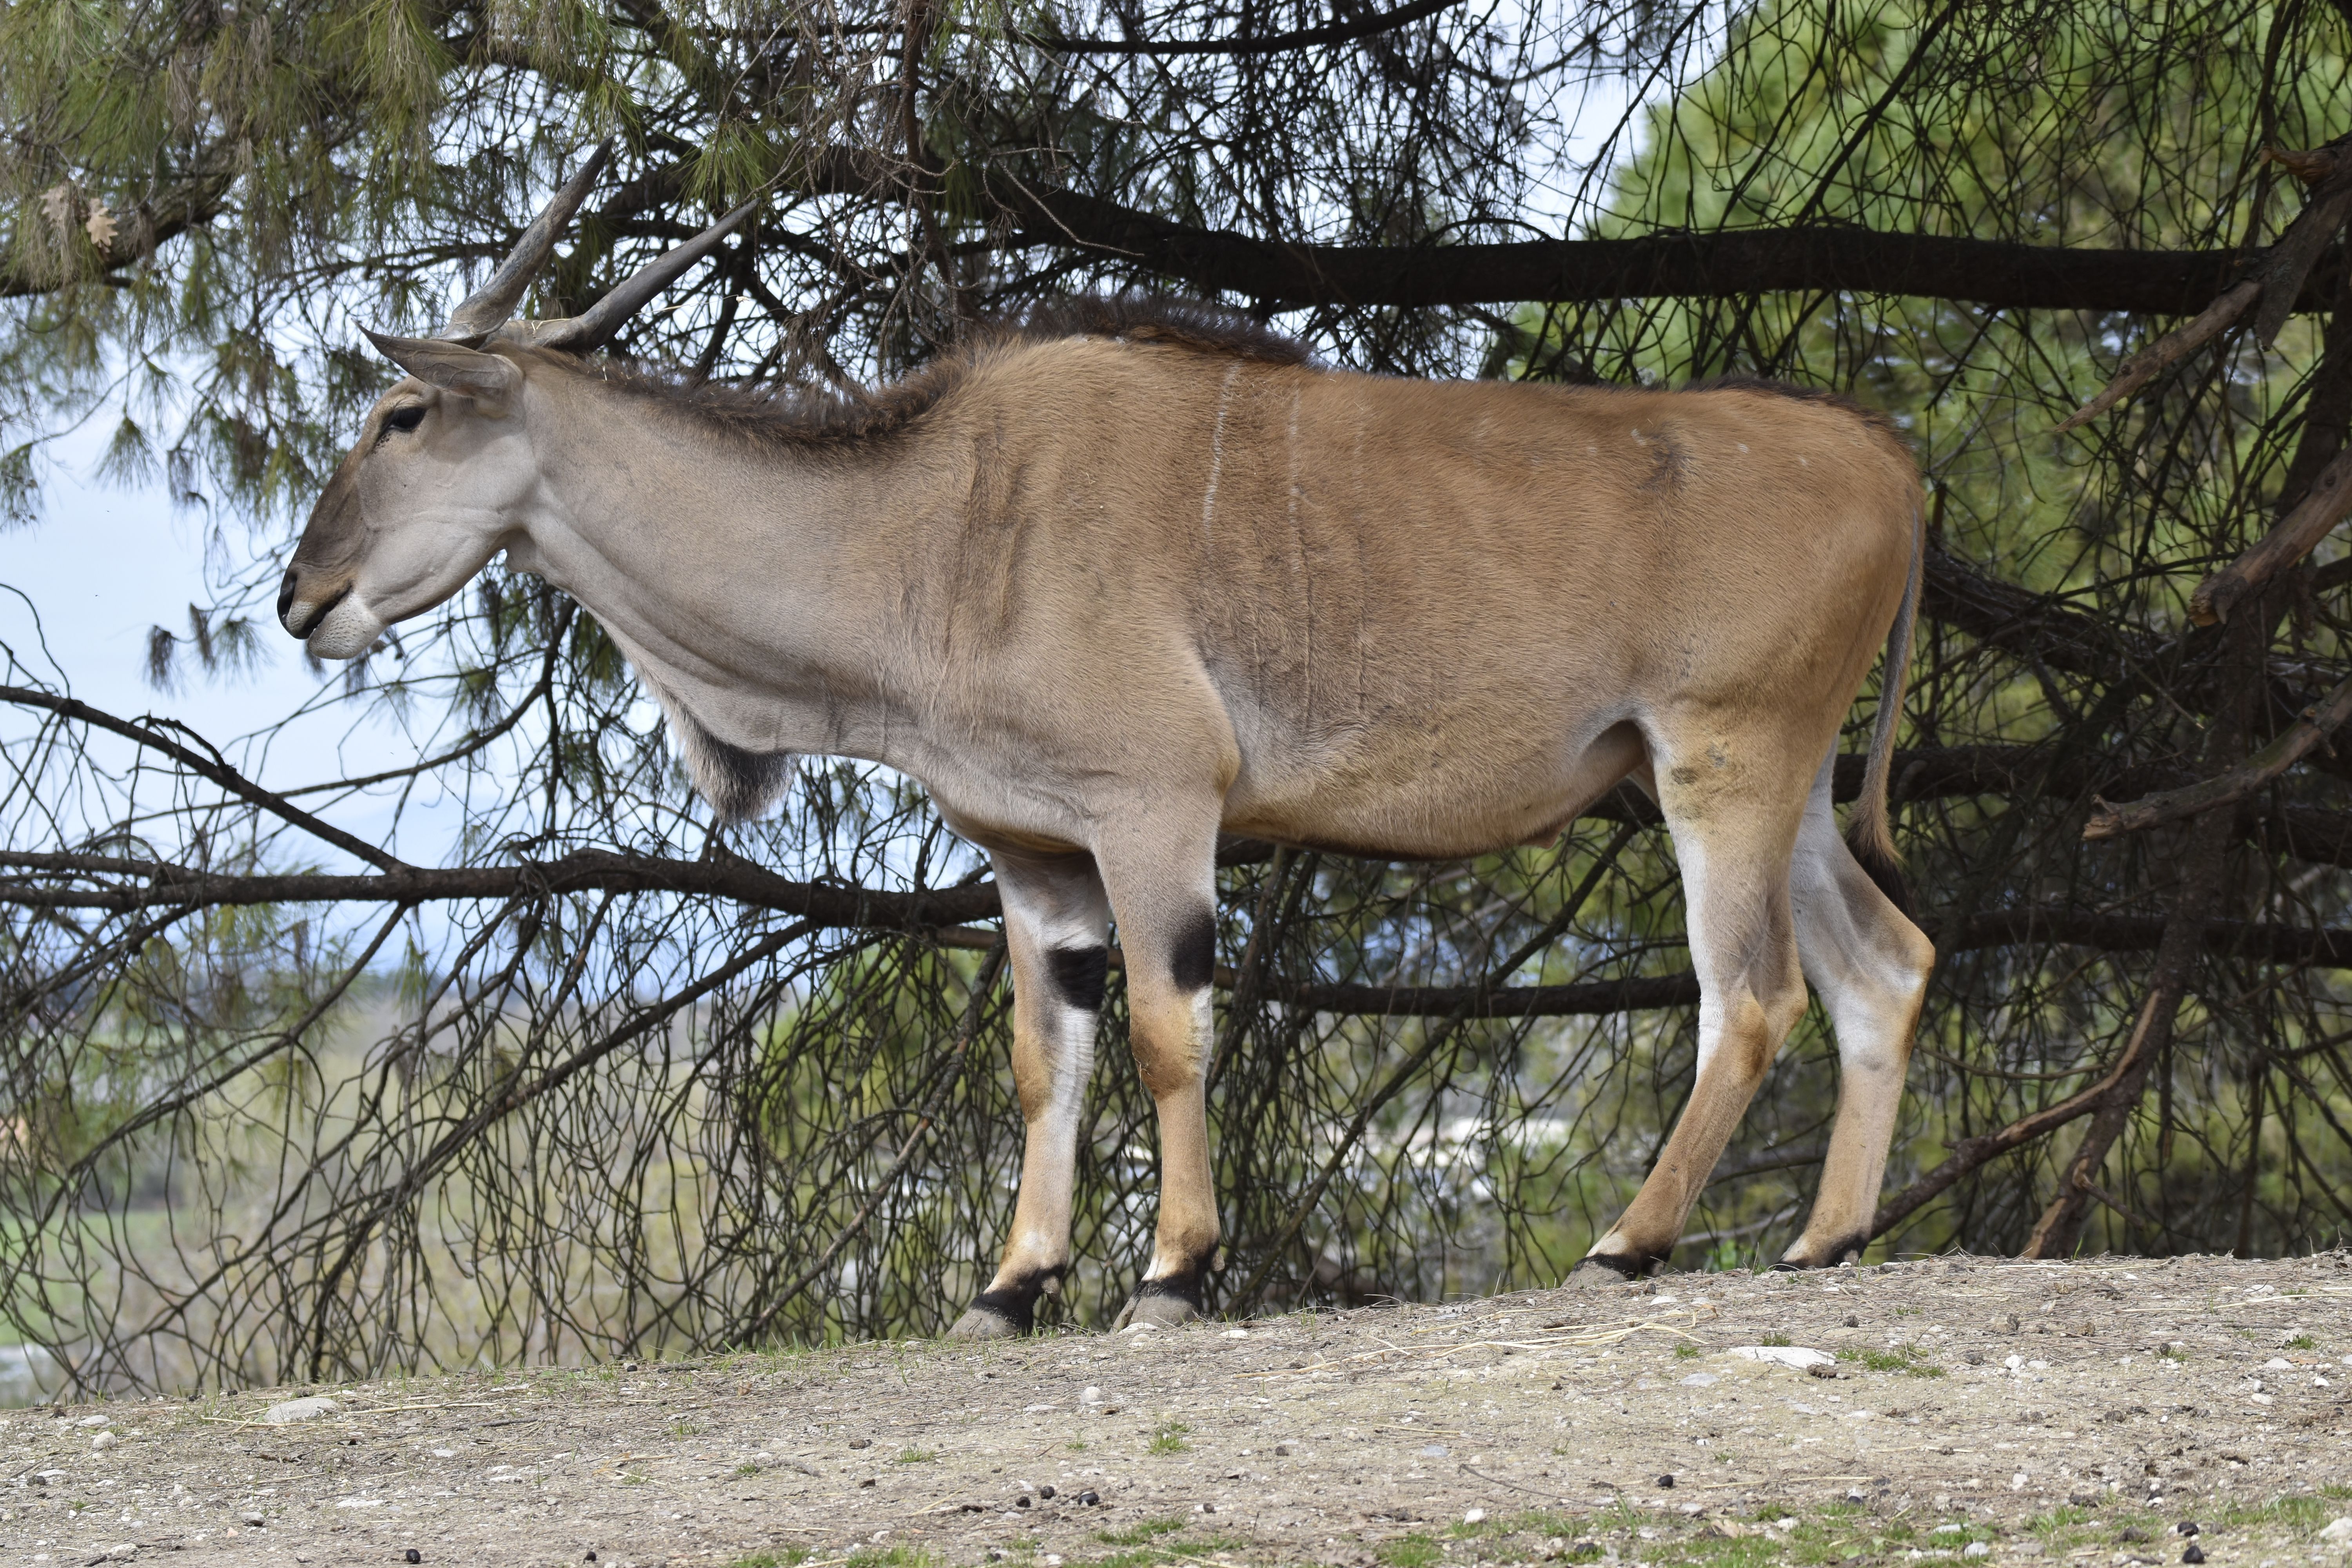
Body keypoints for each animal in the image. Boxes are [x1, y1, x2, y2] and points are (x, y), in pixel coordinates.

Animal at [281, 150, 1935, 1337]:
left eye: (403, 411)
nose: (302, 600)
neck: (930, 523)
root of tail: (1887, 460)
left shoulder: (1155, 813)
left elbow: (1163, 1029)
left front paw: (1171, 1276)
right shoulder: (1036, 858)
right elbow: (1044, 1059)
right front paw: (1009, 1287)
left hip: (1719, 764)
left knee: (1752, 996)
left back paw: (1628, 1245)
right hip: (1784, 787)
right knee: (1886, 965)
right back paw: (1823, 1240)